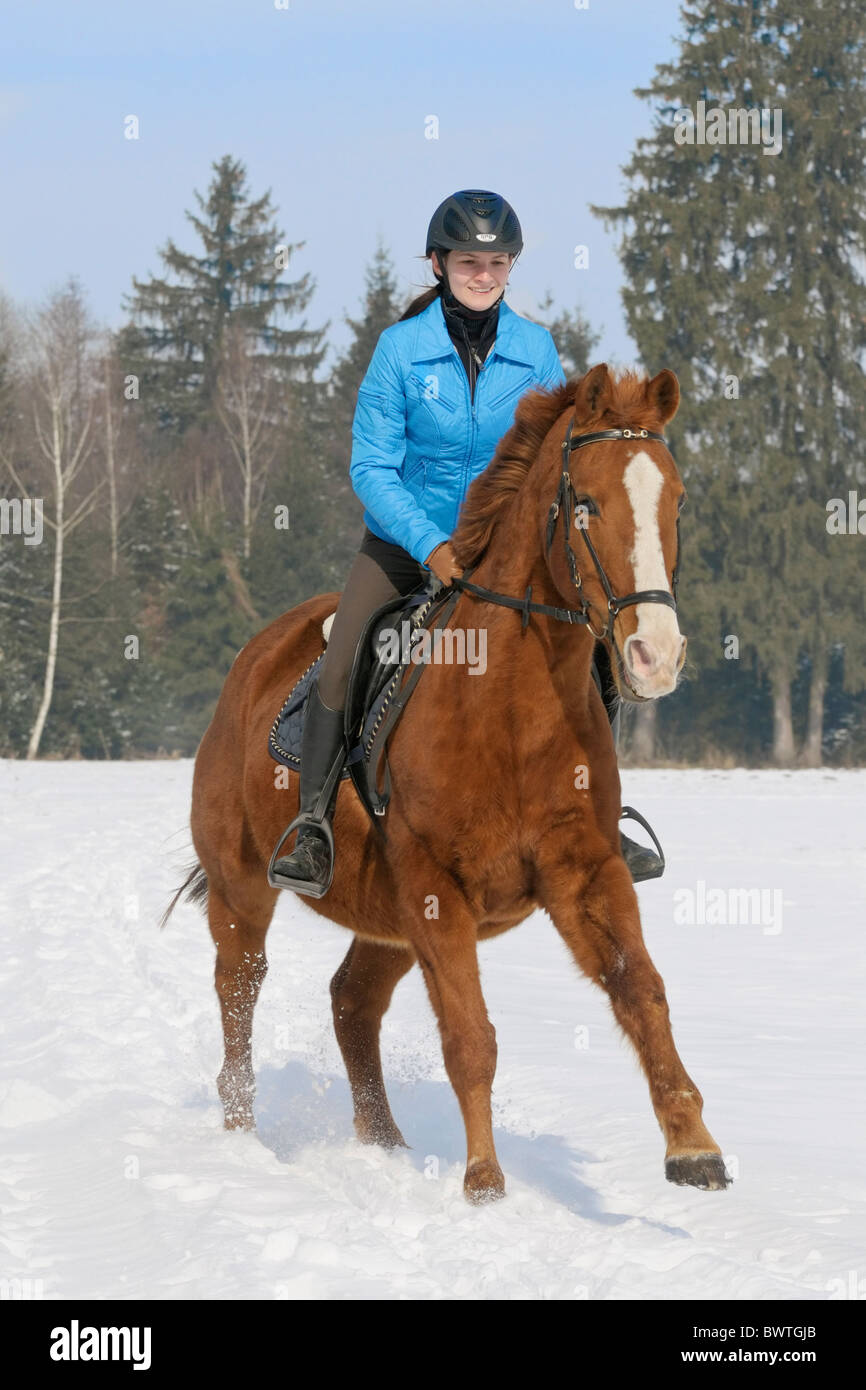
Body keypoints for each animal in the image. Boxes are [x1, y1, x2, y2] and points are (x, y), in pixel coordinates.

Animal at [162, 362, 730, 1204]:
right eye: (587, 503)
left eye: (677, 500)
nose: (656, 654)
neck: (511, 709)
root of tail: (254, 658)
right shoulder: (437, 887)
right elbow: (471, 1037)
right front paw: (485, 1182)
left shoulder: (584, 873)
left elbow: (642, 991)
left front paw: (693, 1146)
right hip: (245, 891)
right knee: (240, 990)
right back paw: (242, 1137)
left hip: (386, 918)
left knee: (352, 1001)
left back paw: (384, 1144)